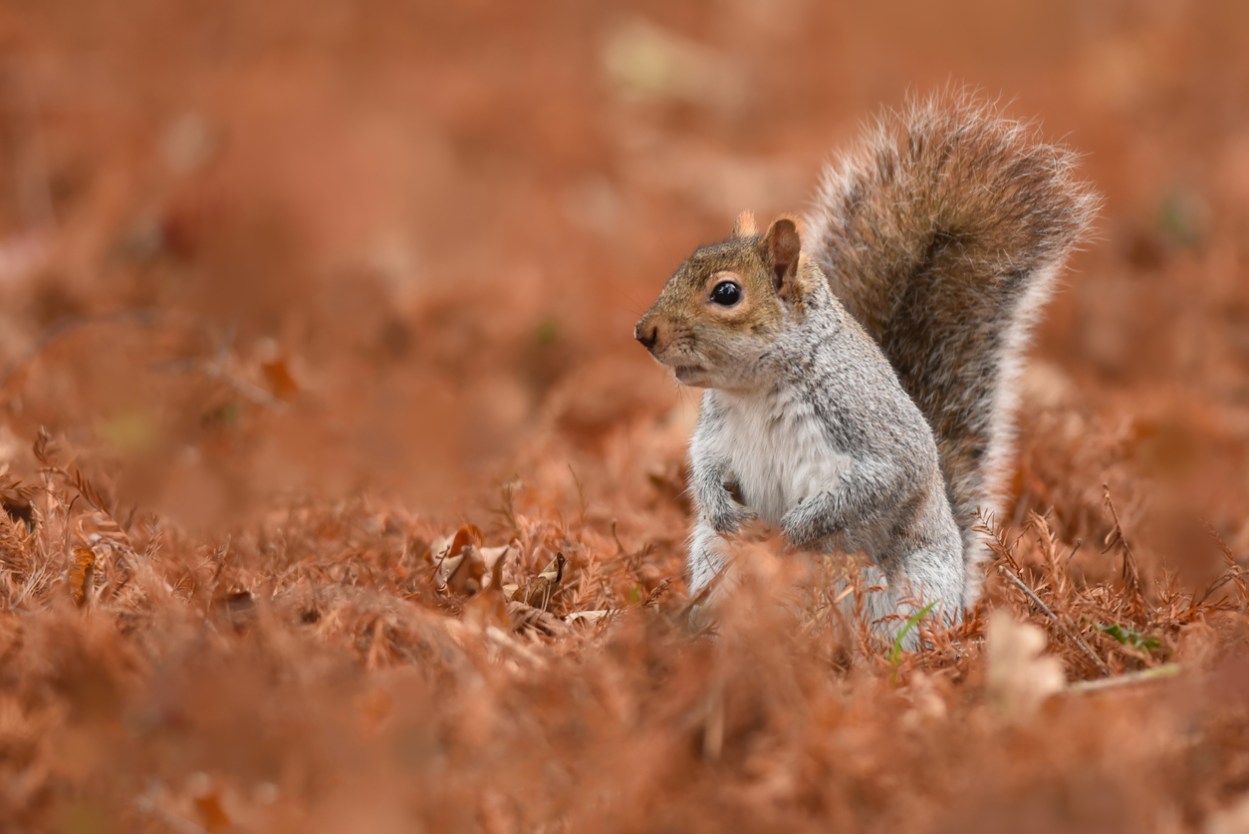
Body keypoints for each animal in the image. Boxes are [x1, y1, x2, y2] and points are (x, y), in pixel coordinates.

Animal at [634, 93, 1099, 643]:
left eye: (726, 292)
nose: (644, 332)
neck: (756, 389)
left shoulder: (865, 418)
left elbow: (884, 476)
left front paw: (791, 530)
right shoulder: (716, 429)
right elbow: (704, 466)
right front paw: (726, 511)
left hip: (911, 589)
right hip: (713, 559)